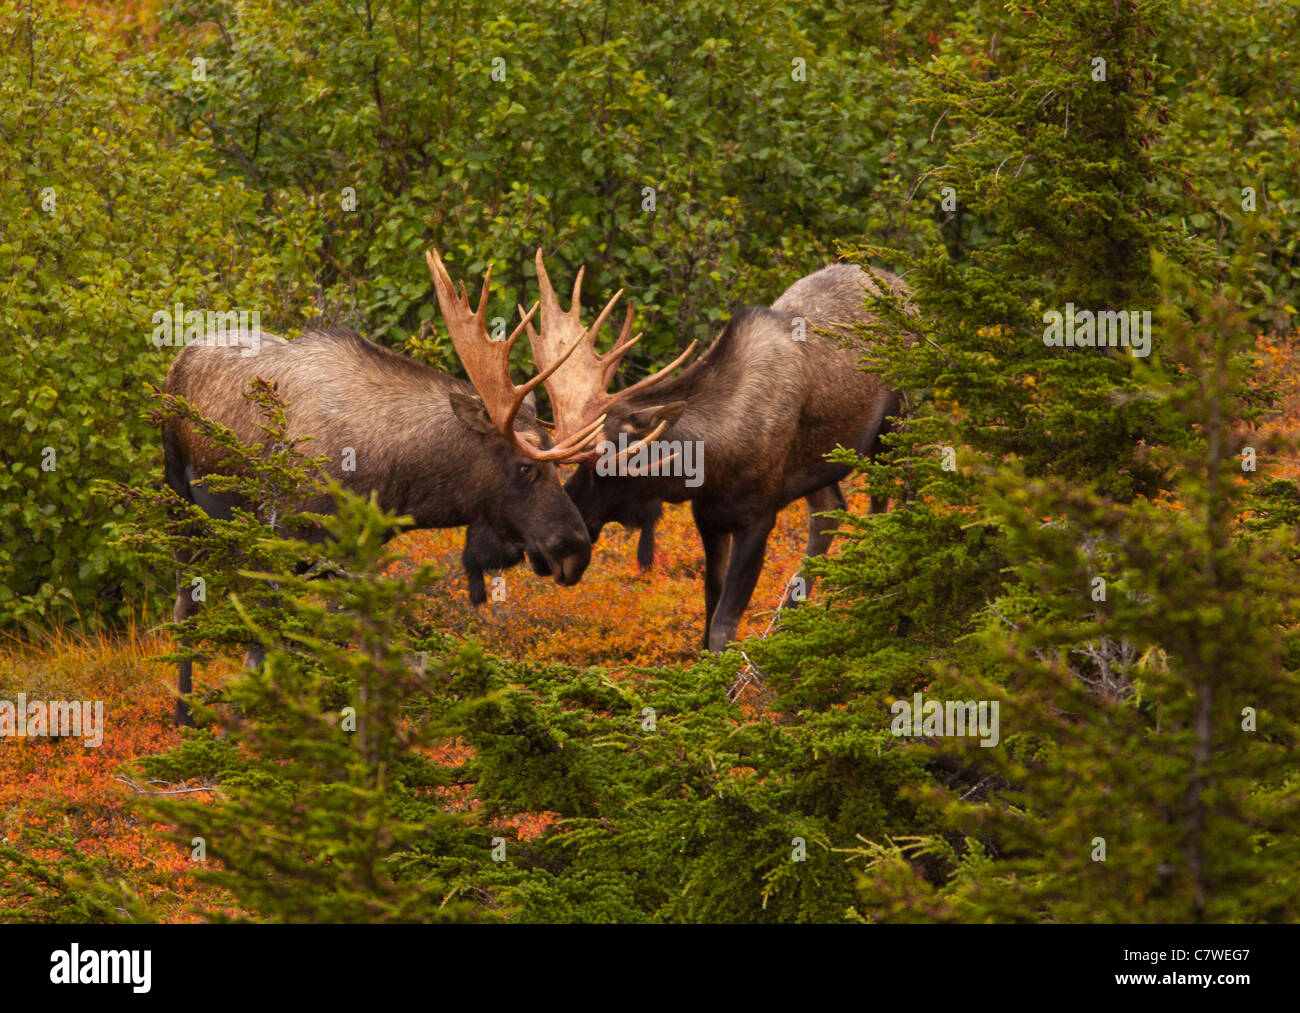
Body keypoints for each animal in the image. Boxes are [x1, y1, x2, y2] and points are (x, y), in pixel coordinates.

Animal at [160, 250, 608, 724]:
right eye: (525, 467)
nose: (575, 549)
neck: (390, 484)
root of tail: (179, 358)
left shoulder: (353, 556)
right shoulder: (281, 541)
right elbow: (268, 645)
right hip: (179, 501)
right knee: (185, 603)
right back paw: (184, 713)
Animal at [523, 251, 905, 653]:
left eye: (605, 470)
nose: (550, 549)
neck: (713, 462)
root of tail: (904, 286)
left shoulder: (759, 517)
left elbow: (724, 622)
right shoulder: (707, 515)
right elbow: (710, 602)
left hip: (896, 426)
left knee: (889, 506)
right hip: (818, 464)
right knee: (831, 512)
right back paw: (786, 624)